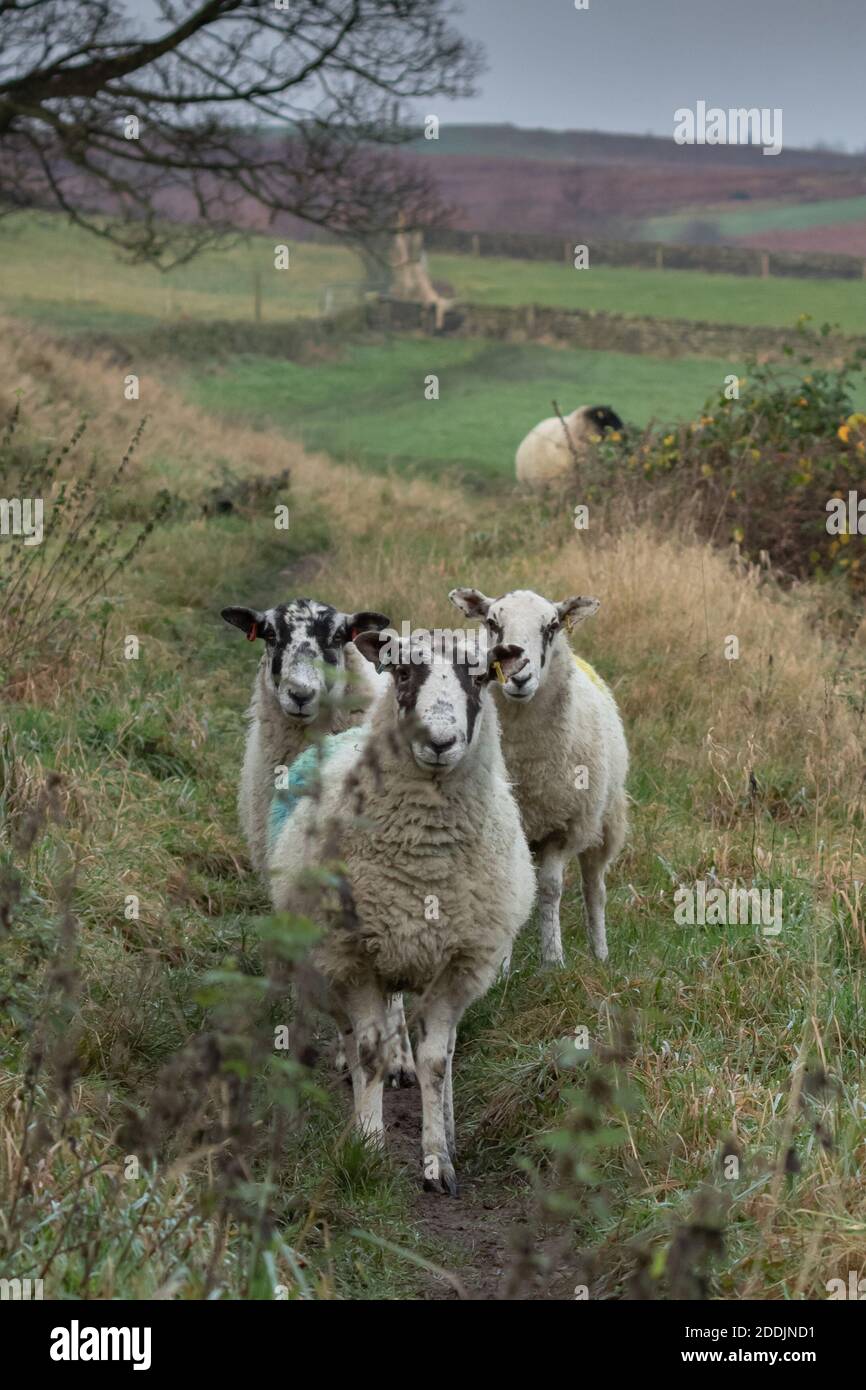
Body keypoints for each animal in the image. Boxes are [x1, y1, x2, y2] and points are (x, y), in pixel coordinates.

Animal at [268, 627, 537, 1194]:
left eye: (479, 676)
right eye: (403, 669)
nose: (439, 741)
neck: (423, 864)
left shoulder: (460, 965)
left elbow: (436, 1060)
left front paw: (438, 1159)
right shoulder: (355, 957)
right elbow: (370, 1050)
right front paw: (367, 1147)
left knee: (447, 1048)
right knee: (353, 1037)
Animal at [449, 587, 628, 968]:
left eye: (552, 626)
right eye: (492, 623)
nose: (519, 677)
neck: (526, 768)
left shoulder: (563, 826)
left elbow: (550, 889)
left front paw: (552, 960)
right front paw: (502, 967)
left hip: (605, 821)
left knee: (595, 888)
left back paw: (601, 954)